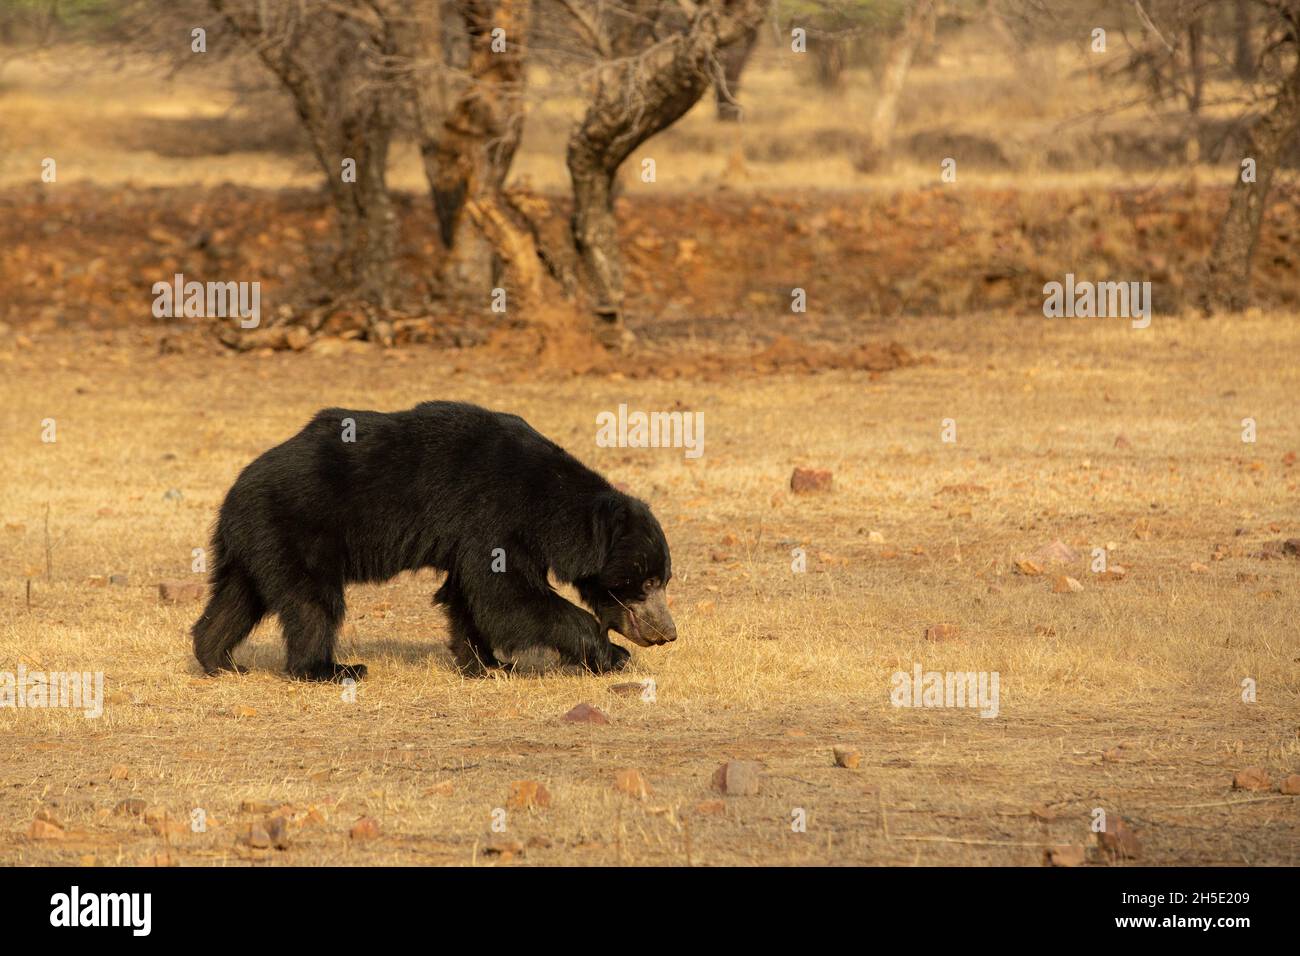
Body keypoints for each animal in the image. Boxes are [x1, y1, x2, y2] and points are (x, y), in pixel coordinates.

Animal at [191, 401, 676, 681]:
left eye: (662, 580)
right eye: (647, 583)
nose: (667, 633)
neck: (546, 503)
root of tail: (234, 492)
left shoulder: (481, 535)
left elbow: (470, 597)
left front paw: (487, 664)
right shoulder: (494, 514)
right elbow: (508, 598)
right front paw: (612, 654)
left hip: (256, 543)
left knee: (237, 598)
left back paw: (219, 659)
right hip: (297, 529)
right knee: (312, 604)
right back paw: (330, 669)